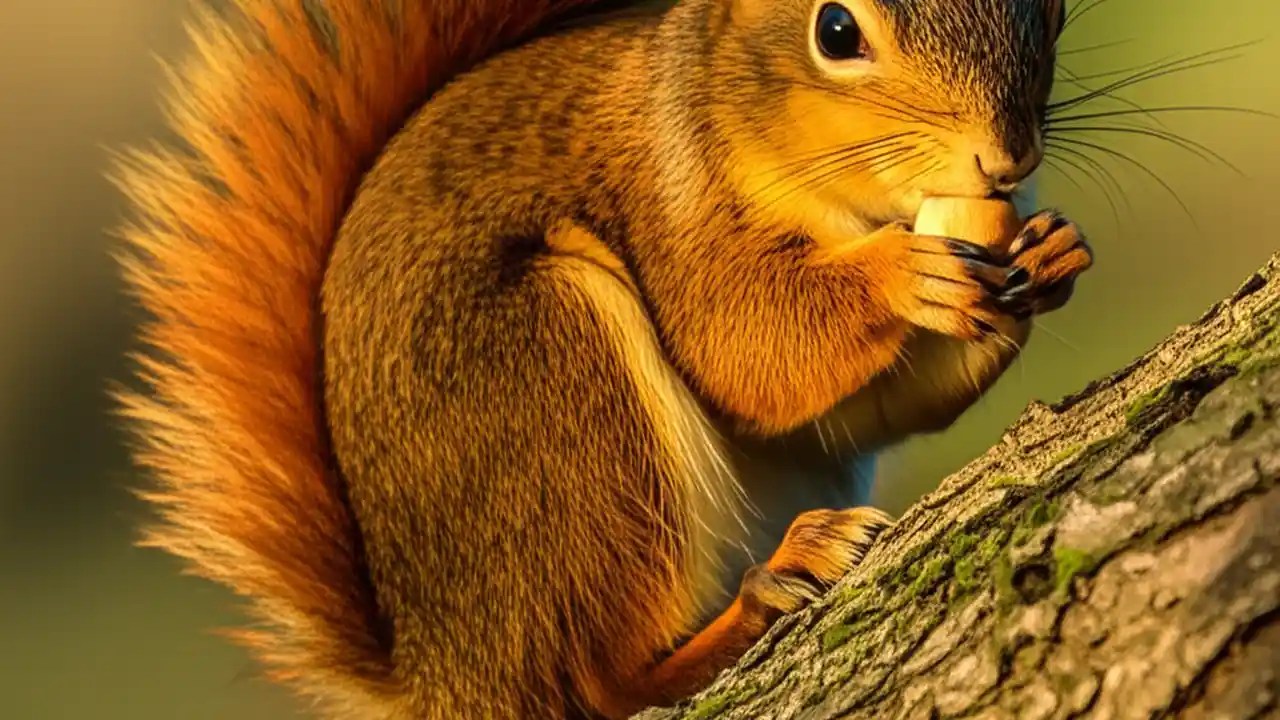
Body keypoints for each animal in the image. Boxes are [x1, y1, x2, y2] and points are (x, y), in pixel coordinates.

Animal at [115, 0, 1091, 718]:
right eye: (837, 30)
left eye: (1048, 9)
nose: (1005, 160)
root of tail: (447, 672)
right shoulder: (673, 203)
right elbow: (750, 353)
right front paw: (900, 273)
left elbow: (861, 411)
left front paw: (1049, 254)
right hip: (559, 392)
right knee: (593, 685)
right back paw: (763, 595)